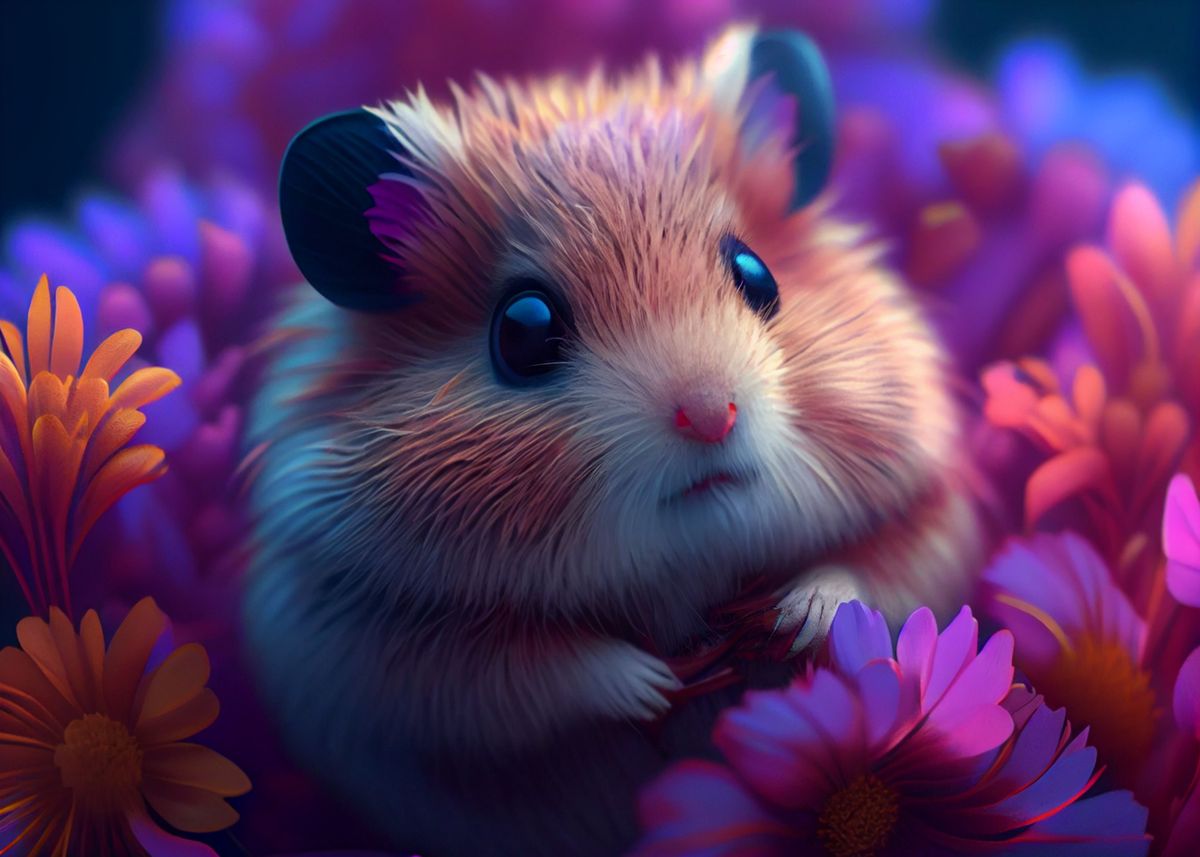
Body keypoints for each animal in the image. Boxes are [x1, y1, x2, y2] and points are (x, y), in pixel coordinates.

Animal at [244, 24, 979, 857]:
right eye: (522, 330)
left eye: (757, 274)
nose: (712, 414)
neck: (687, 569)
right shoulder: (359, 637)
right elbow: (518, 673)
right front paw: (668, 678)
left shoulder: (933, 514)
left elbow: (873, 576)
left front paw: (782, 618)